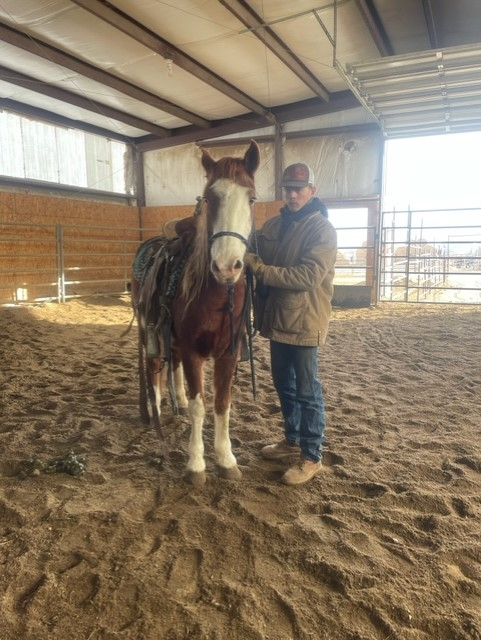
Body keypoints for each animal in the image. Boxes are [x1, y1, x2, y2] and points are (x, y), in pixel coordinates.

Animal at [131, 140, 260, 486]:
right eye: (210, 198)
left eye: (252, 198)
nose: (227, 266)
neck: (216, 296)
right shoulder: (193, 353)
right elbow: (199, 406)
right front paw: (196, 465)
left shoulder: (229, 353)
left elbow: (222, 404)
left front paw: (226, 460)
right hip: (149, 330)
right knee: (153, 367)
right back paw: (157, 409)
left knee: (171, 367)